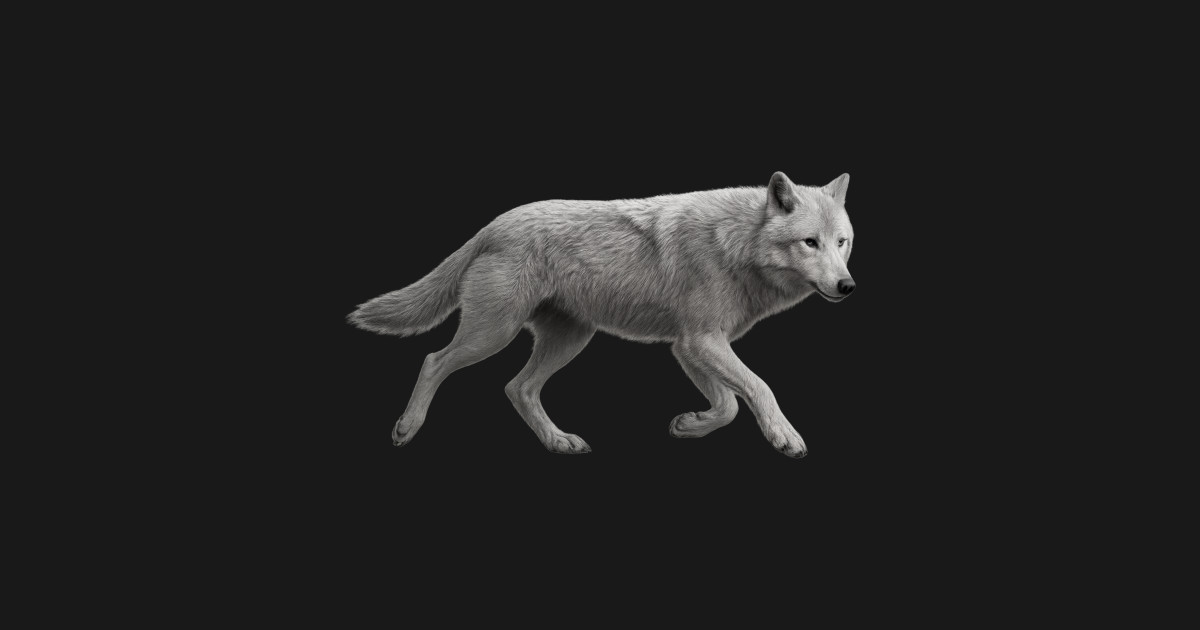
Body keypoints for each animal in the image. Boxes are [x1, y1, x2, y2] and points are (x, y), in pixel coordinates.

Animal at [349, 171, 855, 457]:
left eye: (842, 242)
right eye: (810, 243)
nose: (847, 286)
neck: (736, 243)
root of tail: (491, 226)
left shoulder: (689, 345)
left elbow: (728, 405)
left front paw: (689, 426)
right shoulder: (700, 341)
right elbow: (759, 388)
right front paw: (785, 438)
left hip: (570, 340)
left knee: (517, 387)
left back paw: (559, 442)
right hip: (492, 333)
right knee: (434, 360)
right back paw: (406, 429)